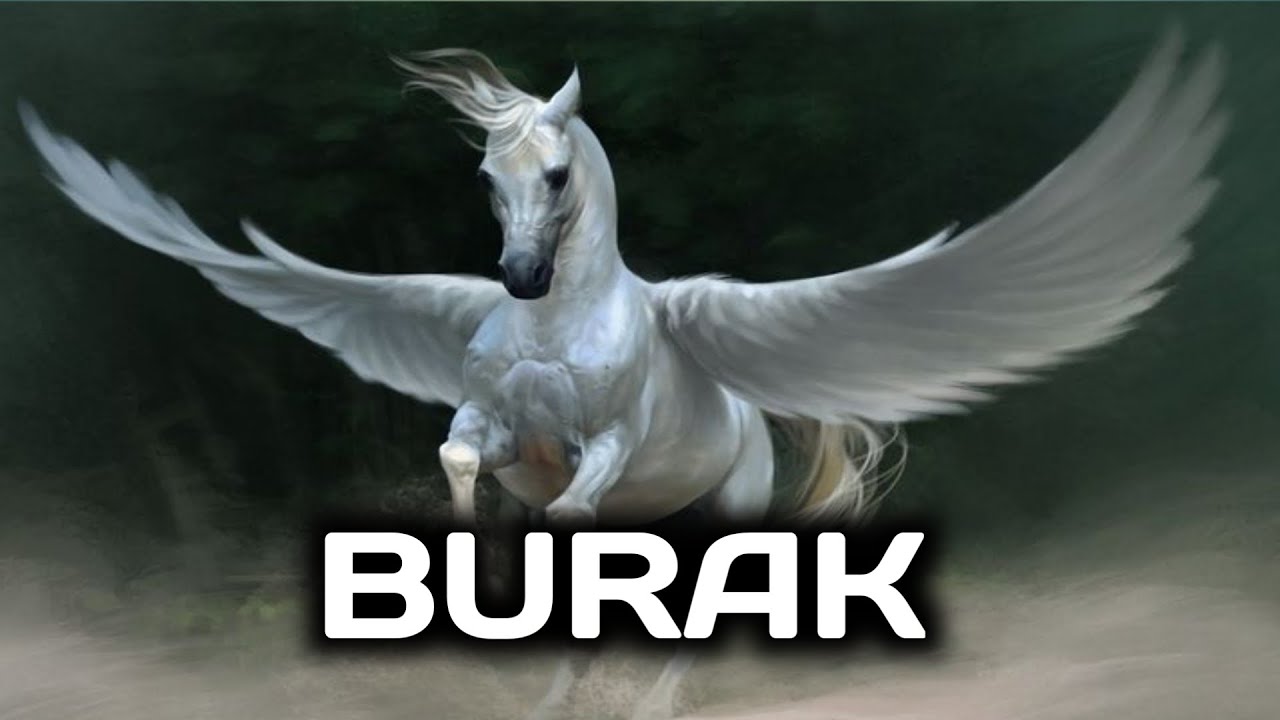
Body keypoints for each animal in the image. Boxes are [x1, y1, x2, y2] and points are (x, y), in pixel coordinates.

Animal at [21, 29, 1223, 720]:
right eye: (485, 173)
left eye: (556, 174)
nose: (515, 275)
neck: (558, 324)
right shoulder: (489, 424)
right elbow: (466, 465)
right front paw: (471, 581)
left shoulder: (601, 451)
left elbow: (567, 514)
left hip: (718, 512)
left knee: (686, 609)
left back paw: (642, 706)